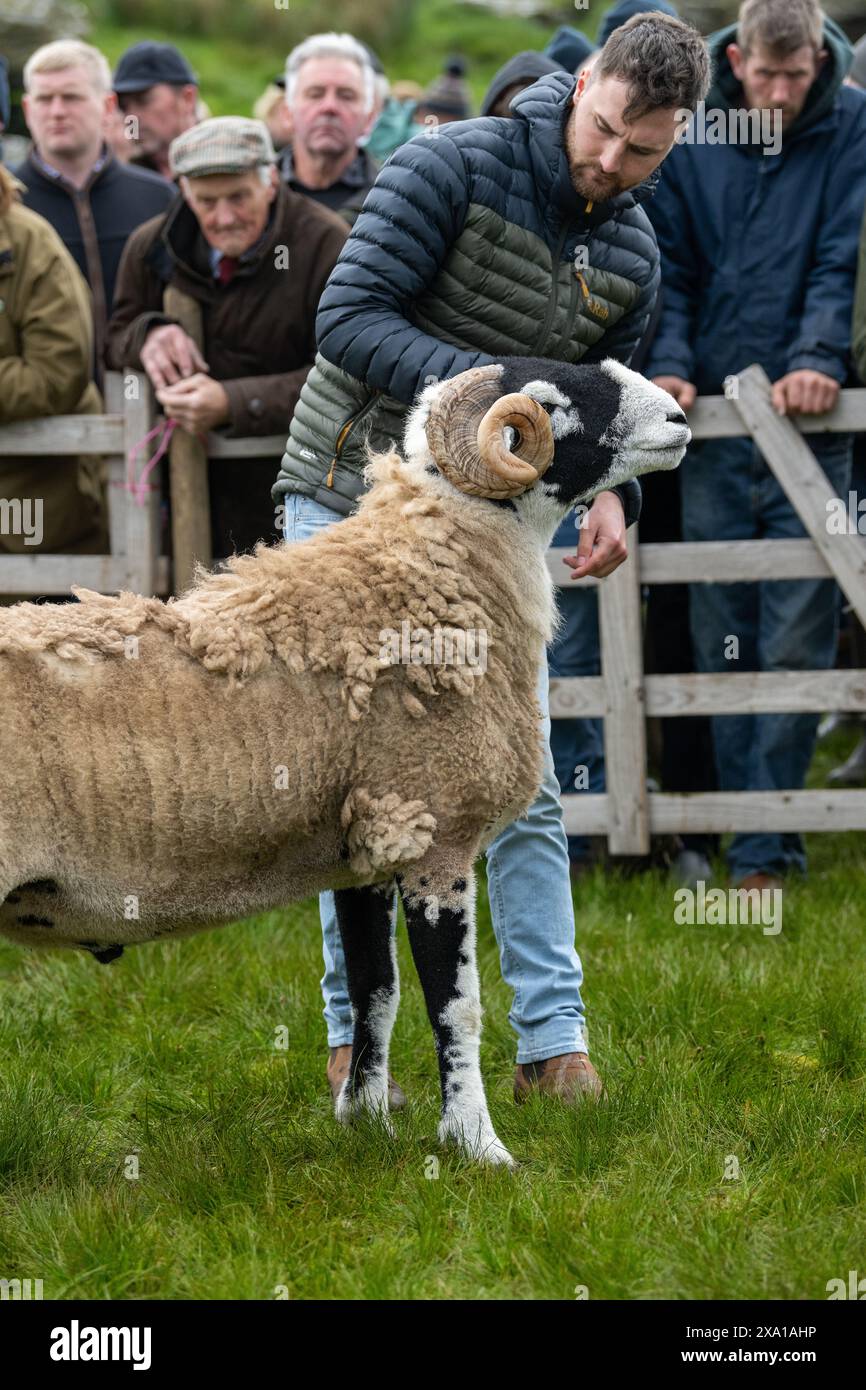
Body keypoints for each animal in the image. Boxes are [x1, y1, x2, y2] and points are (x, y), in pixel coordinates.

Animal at [0, 355, 689, 1167]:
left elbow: (375, 991)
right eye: (553, 404)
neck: (428, 573)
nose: (680, 419)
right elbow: (456, 1008)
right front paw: (478, 1146)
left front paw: (364, 1122)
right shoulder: (430, 831)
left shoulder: (364, 847)